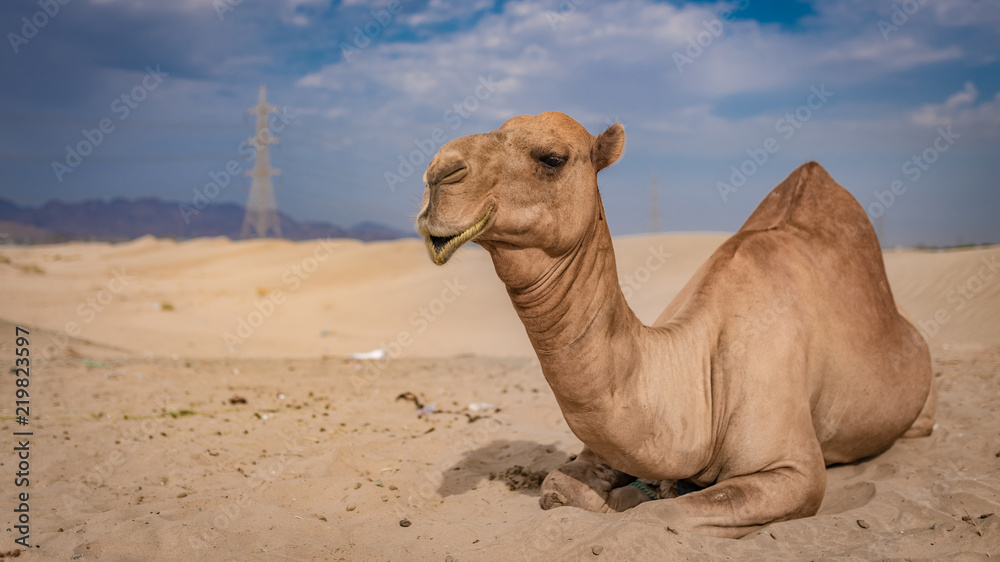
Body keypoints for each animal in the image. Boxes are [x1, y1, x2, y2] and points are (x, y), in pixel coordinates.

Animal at [414, 111, 936, 538]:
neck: (698, 377)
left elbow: (655, 515)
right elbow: (558, 485)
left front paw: (649, 496)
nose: (437, 173)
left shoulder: (794, 471)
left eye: (552, 158)